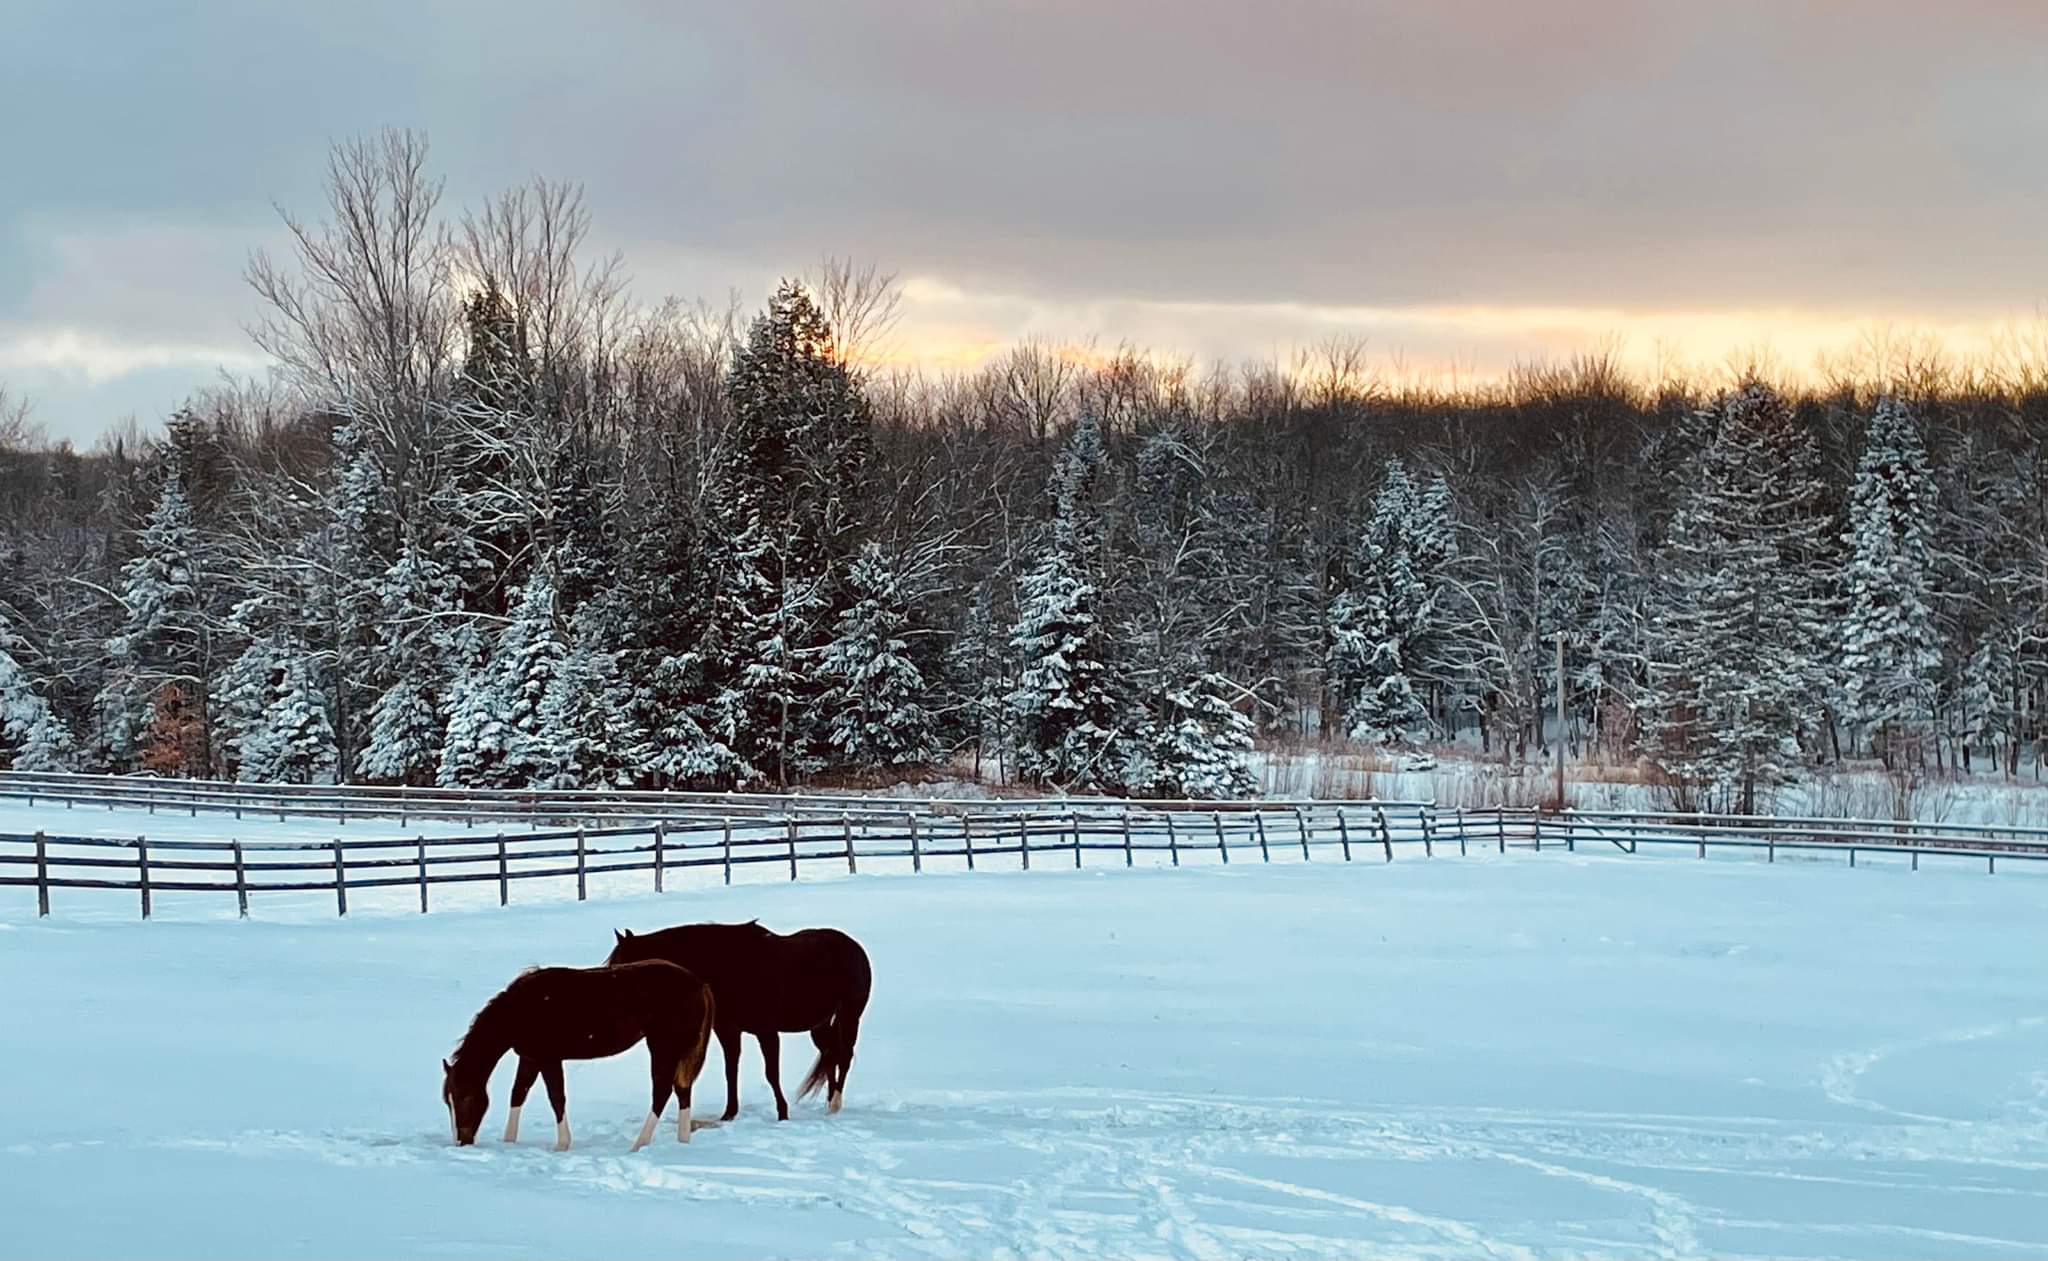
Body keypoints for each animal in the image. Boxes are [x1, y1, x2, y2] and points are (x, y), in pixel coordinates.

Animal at [440, 960, 716, 1152]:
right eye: (448, 1101)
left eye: (465, 1098)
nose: (462, 1141)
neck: (522, 1009)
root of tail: (699, 983)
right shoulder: (530, 1058)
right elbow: (518, 1094)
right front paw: (508, 1141)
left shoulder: (549, 1059)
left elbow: (557, 1098)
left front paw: (562, 1144)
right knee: (682, 1090)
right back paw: (682, 1141)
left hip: (662, 1047)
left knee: (662, 1091)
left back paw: (639, 1144)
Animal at [606, 921, 871, 1122]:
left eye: (622, 965)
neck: (730, 966)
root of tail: (855, 947)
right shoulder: (728, 1031)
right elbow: (730, 1070)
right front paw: (729, 1114)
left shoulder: (767, 1032)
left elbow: (771, 1073)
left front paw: (782, 1113)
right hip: (820, 1024)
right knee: (830, 1055)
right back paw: (829, 1102)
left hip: (850, 1016)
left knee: (844, 1056)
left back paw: (835, 1104)